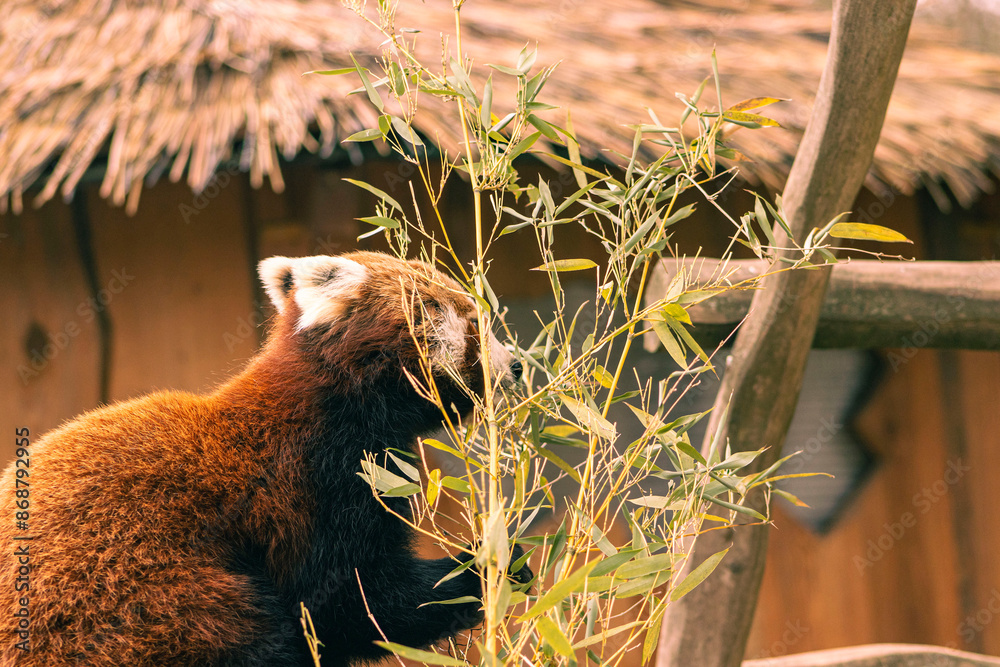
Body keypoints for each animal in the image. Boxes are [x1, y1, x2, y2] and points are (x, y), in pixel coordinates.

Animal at [0, 252, 529, 666]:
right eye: (475, 324)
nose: (520, 364)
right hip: (145, 605)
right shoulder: (317, 480)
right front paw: (488, 564)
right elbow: (353, 604)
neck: (337, 400)